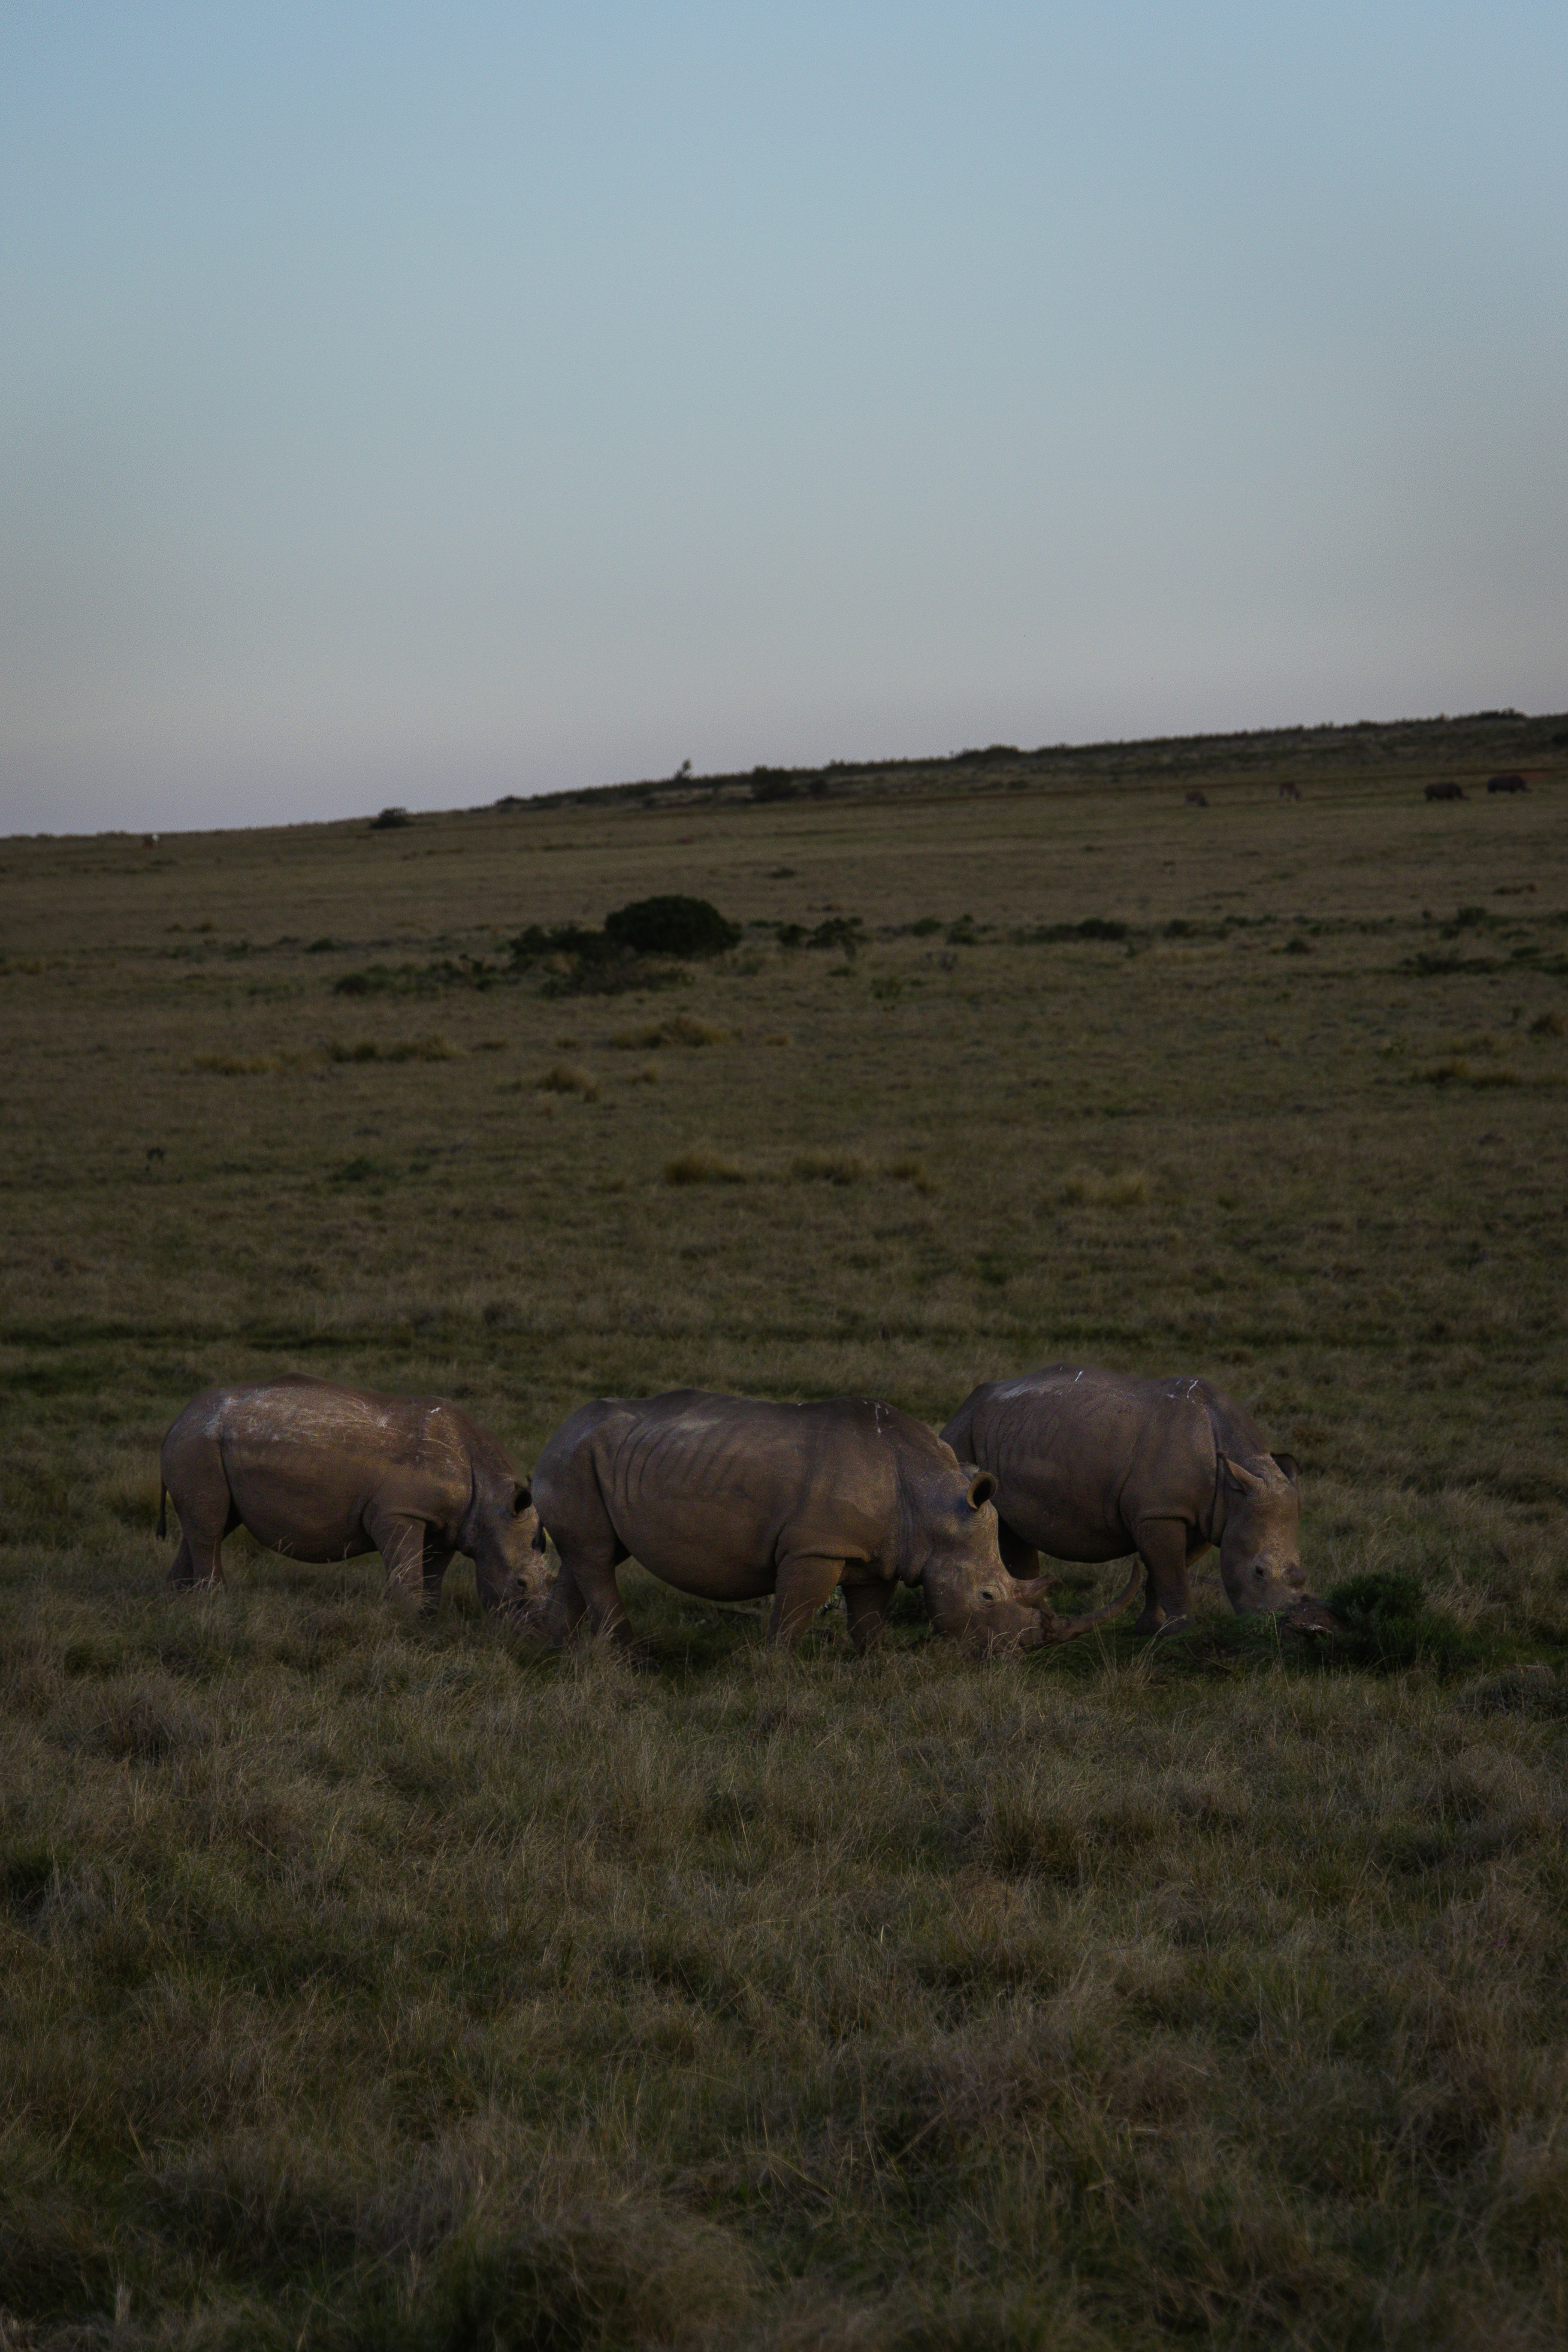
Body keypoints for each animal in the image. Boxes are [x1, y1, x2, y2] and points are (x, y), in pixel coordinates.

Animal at [158, 1374, 547, 1612]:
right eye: (521, 1584)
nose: (536, 1639)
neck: (492, 1501)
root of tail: (177, 1421)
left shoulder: (449, 1525)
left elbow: (432, 1576)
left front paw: (426, 1620)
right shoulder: (400, 1512)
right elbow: (408, 1571)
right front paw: (409, 1623)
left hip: (206, 1445)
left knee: (212, 1523)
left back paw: (180, 1601)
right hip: (199, 1445)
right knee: (210, 1526)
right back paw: (214, 1601)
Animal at [529, 1390, 1141, 1654]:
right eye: (988, 1596)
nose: (1018, 1653)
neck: (932, 1500)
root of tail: (557, 1430)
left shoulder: (882, 1552)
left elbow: (868, 1616)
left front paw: (877, 1666)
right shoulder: (815, 1547)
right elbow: (792, 1615)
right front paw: (776, 1669)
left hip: (588, 1459)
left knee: (588, 1555)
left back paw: (549, 1651)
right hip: (574, 1458)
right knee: (595, 1557)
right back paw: (633, 1660)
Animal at [941, 1366, 1335, 1638]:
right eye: (1258, 1572)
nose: (1281, 1629)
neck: (1235, 1482)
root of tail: (967, 1403)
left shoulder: (1204, 1516)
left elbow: (1166, 1571)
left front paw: (1150, 1628)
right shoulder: (1160, 1513)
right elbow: (1171, 1573)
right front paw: (1180, 1631)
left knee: (1013, 1528)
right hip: (963, 1435)